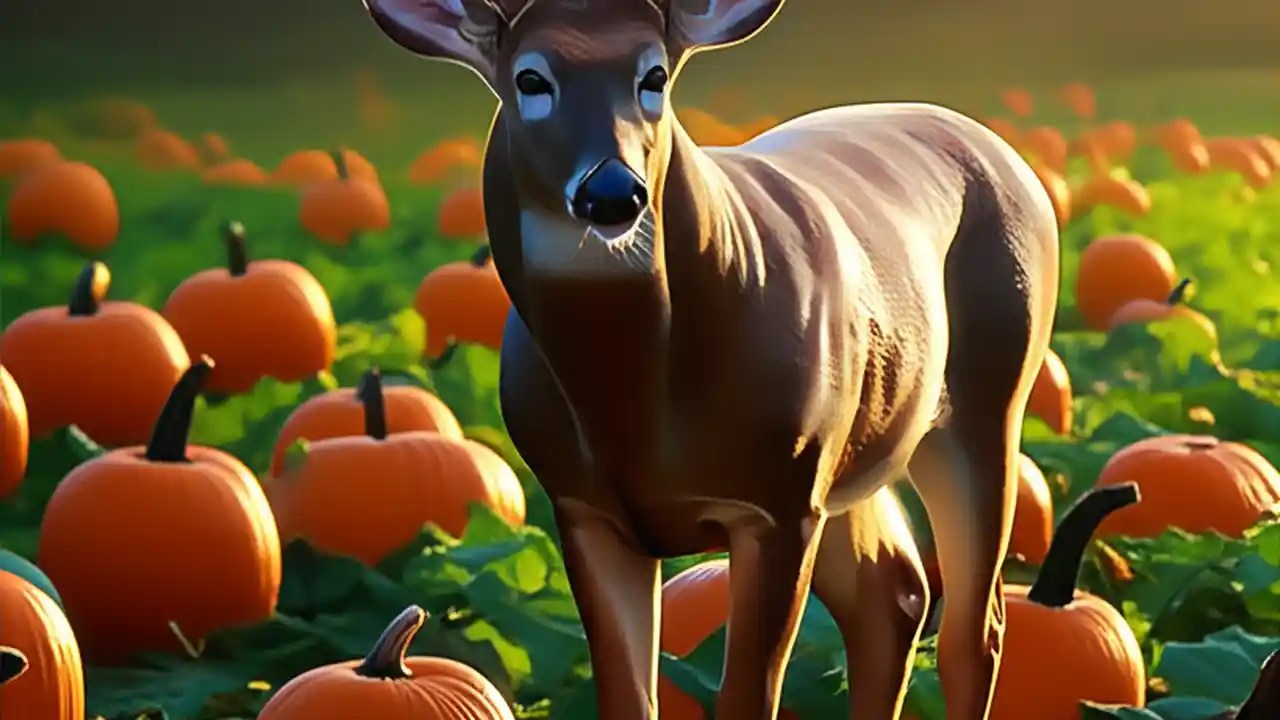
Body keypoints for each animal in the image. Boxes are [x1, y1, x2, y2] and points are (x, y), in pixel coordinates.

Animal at [363, 0, 1060, 718]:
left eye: (655, 75)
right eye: (530, 79)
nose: (612, 191)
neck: (635, 411)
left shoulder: (778, 503)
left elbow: (746, 695)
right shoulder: (583, 507)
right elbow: (625, 695)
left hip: (986, 403)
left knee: (977, 626)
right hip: (853, 445)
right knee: (895, 591)